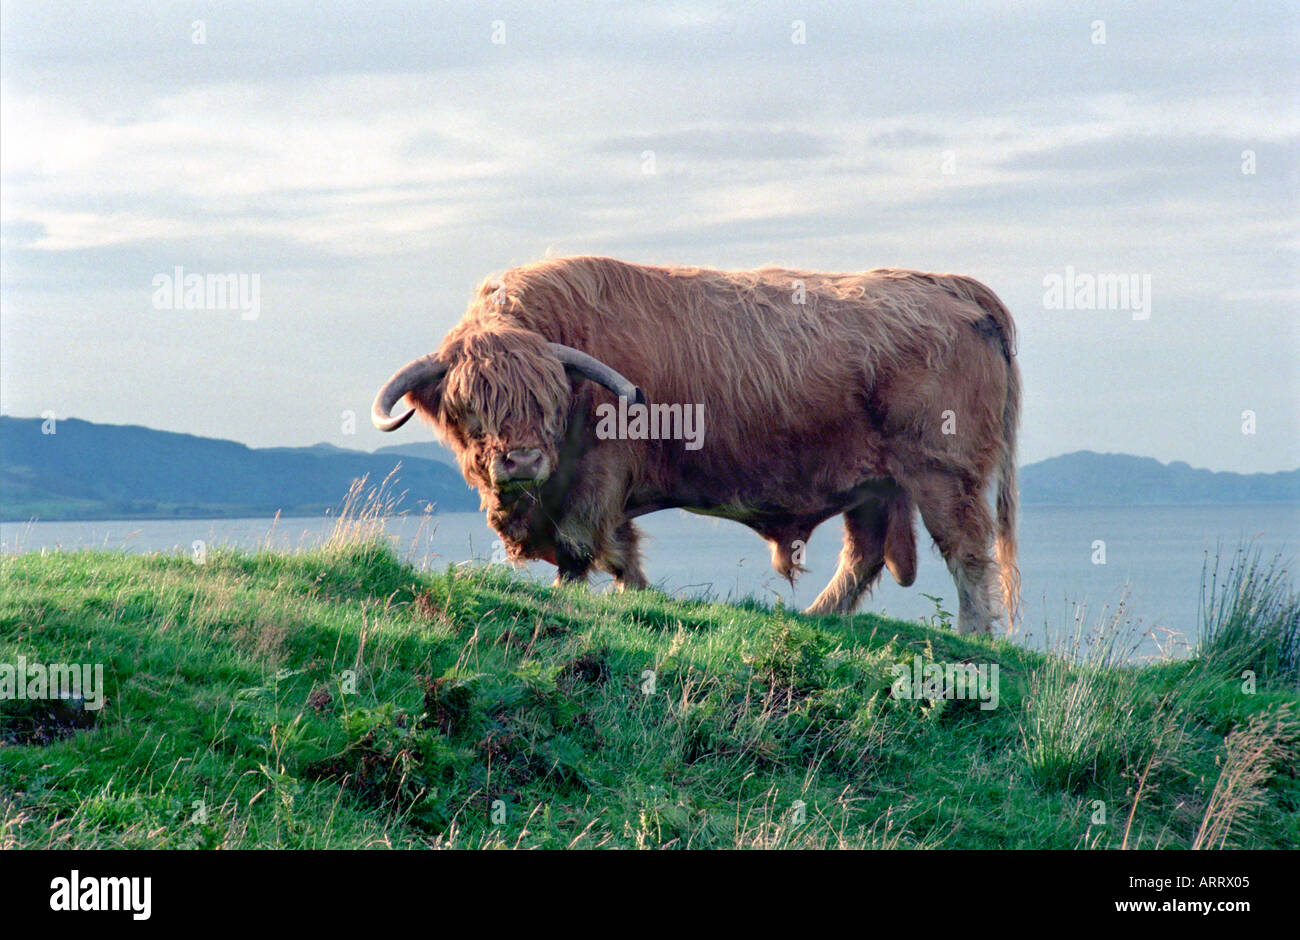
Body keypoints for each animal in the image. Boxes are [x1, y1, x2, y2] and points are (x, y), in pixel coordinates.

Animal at [372, 256, 1021, 635]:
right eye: (468, 408)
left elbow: (584, 548)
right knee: (863, 555)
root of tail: (950, 284)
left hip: (943, 474)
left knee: (966, 553)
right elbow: (621, 553)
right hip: (872, 485)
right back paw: (819, 620)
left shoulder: (596, 479)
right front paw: (638, 595)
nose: (524, 460)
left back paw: (973, 639)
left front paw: (576, 595)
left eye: (549, 402)